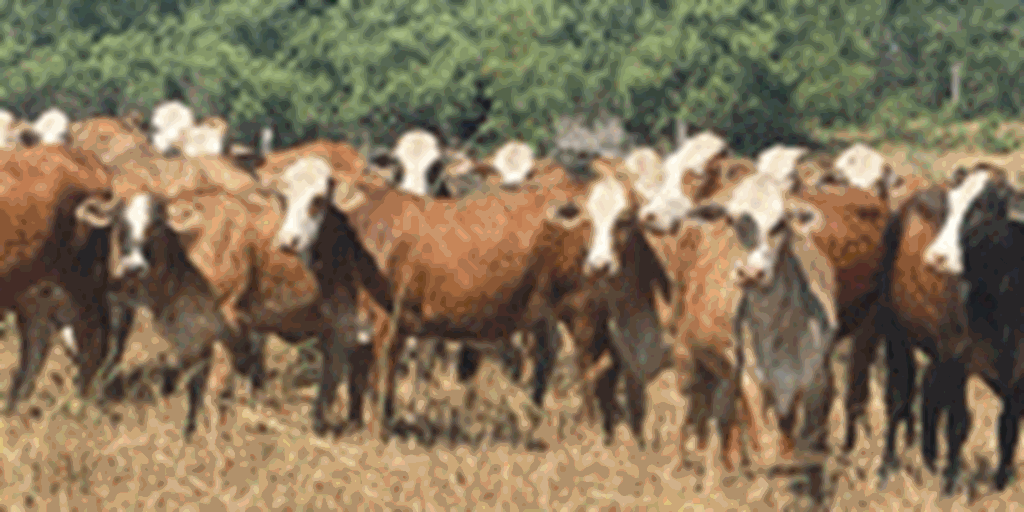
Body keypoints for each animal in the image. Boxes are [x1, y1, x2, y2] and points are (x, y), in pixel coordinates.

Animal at [920, 164, 1024, 494]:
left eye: (980, 209)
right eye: (950, 205)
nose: (937, 257)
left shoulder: (1018, 376)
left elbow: (1008, 430)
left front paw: (1000, 484)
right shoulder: (956, 360)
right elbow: (958, 424)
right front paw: (949, 485)